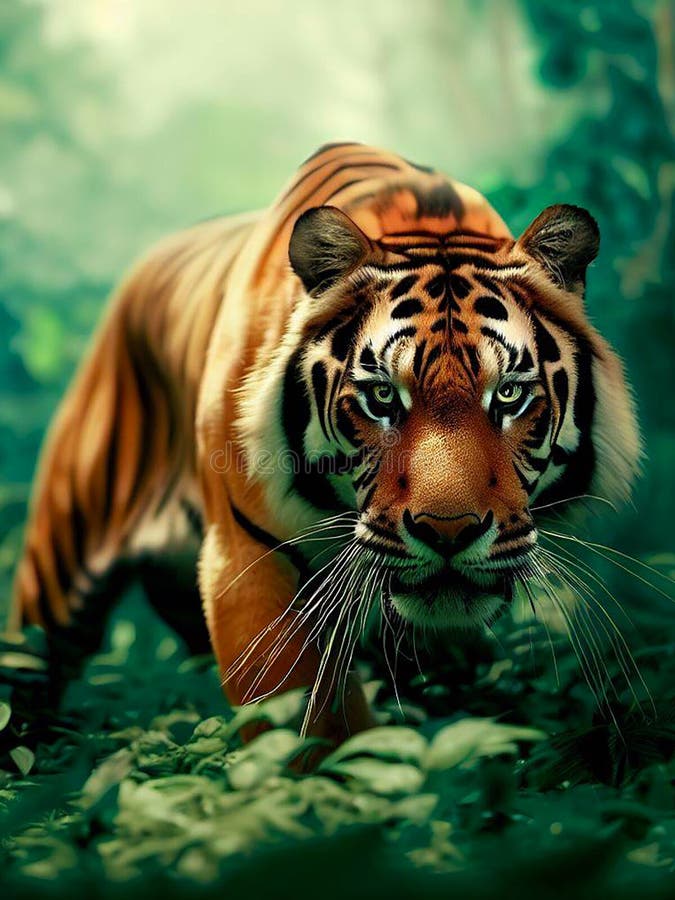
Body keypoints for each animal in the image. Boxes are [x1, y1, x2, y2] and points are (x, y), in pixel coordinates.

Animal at [8, 142, 640, 745]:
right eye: (382, 397)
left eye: (508, 394)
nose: (448, 533)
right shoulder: (247, 558)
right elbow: (302, 719)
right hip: (59, 565)